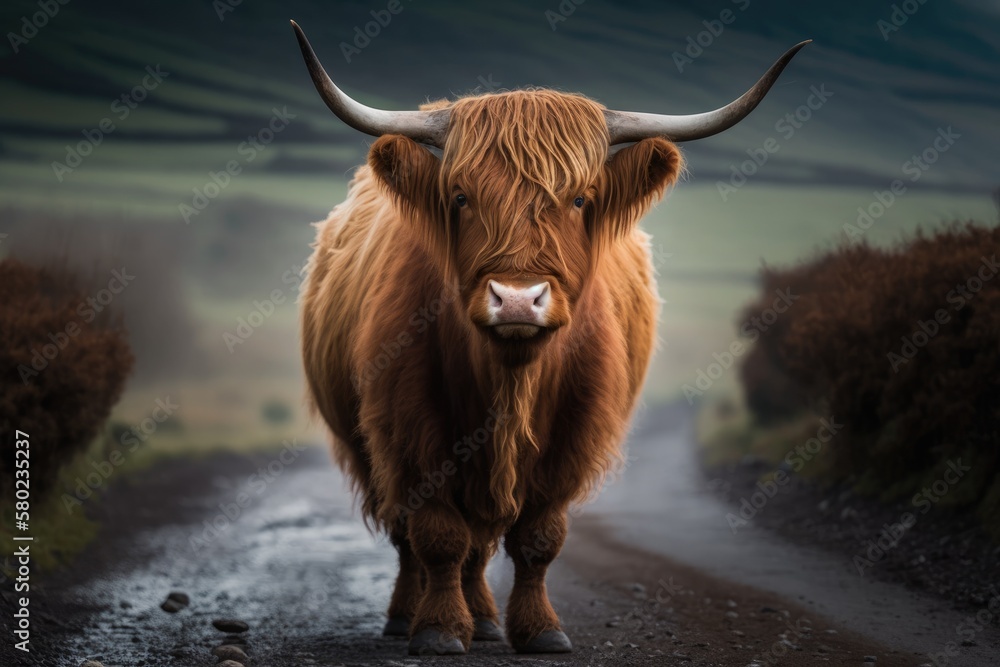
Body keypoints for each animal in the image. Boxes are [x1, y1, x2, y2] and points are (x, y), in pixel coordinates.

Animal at [292, 20, 807, 655]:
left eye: (581, 198)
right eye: (460, 196)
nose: (517, 298)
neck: (510, 377)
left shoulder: (574, 436)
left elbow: (538, 539)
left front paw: (539, 629)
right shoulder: (408, 431)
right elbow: (436, 534)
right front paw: (438, 629)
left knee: (480, 545)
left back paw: (486, 620)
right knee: (414, 539)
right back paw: (407, 616)